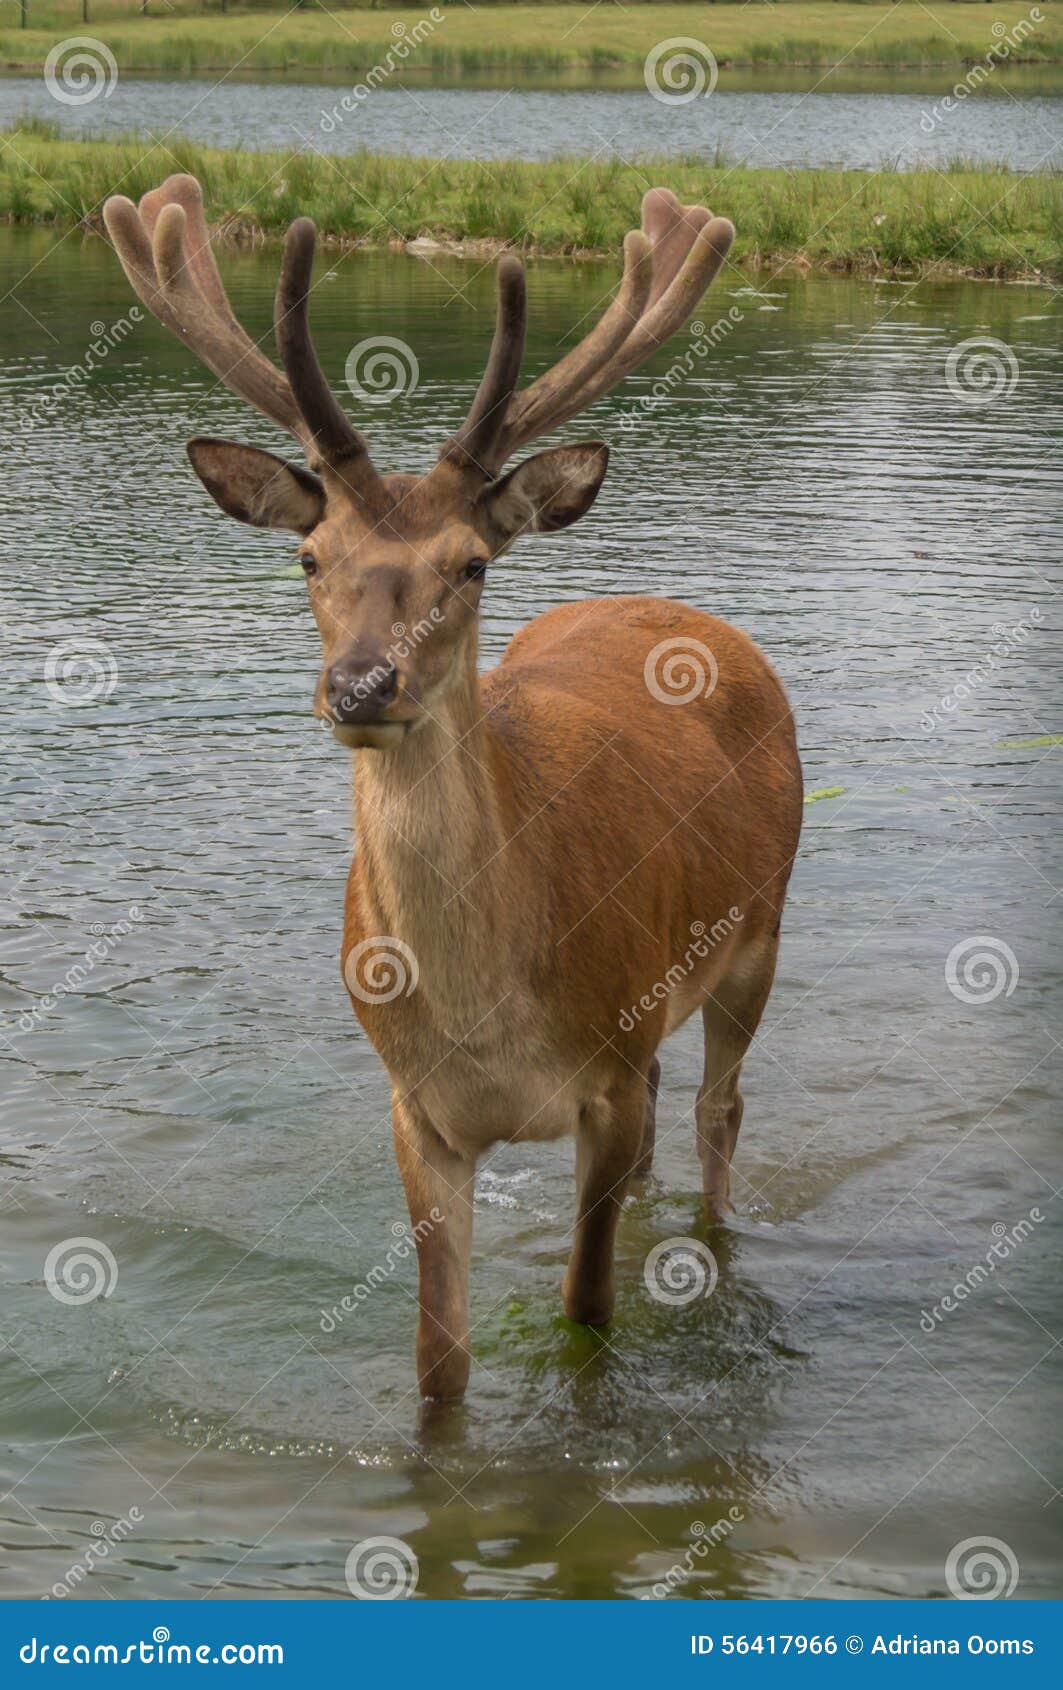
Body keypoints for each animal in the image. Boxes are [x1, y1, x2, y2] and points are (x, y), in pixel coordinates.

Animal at [103, 175, 803, 1402]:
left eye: (469, 564)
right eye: (309, 558)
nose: (360, 683)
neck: (487, 1021)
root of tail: (678, 608)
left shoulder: (606, 1073)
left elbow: (587, 1308)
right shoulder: (414, 1109)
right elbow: (439, 1361)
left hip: (756, 933)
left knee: (719, 1107)